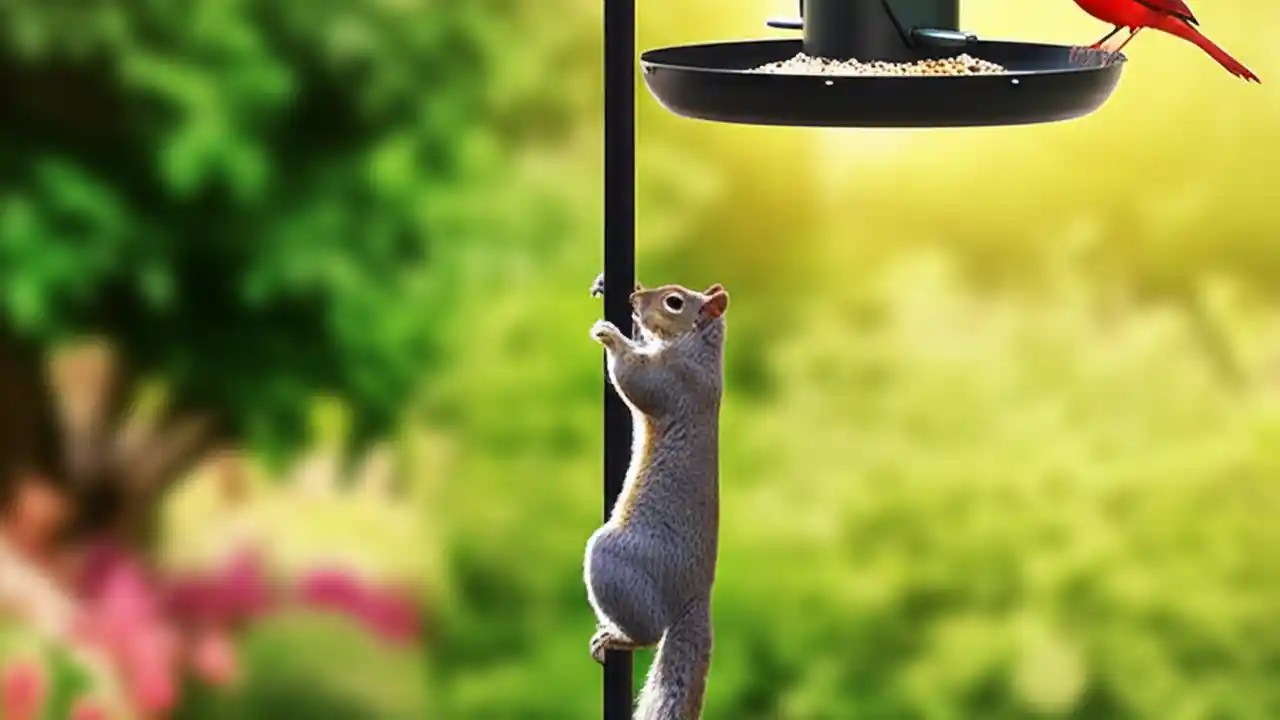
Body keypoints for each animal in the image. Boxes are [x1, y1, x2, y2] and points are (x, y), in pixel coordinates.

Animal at [584, 277, 729, 720]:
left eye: (674, 302)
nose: (634, 299)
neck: (700, 349)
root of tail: (695, 594)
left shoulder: (673, 382)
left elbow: (634, 379)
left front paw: (611, 336)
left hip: (619, 563)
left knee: (648, 633)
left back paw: (617, 638)